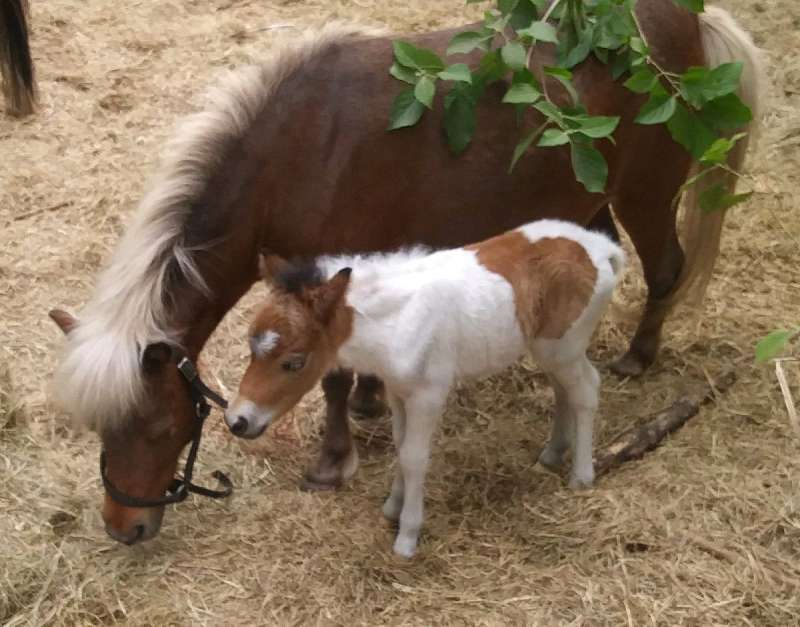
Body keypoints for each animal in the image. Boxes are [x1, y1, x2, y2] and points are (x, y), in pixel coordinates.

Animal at [228, 219, 625, 557]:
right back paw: (553, 453)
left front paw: (407, 536)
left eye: (294, 362)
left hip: (564, 346)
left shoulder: (427, 395)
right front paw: (392, 507)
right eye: (250, 345)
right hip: (548, 350)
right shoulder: (398, 392)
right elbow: (401, 446)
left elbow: (414, 457)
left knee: (586, 390)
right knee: (563, 391)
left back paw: (582, 475)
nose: (237, 421)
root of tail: (600, 249)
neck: (396, 321)